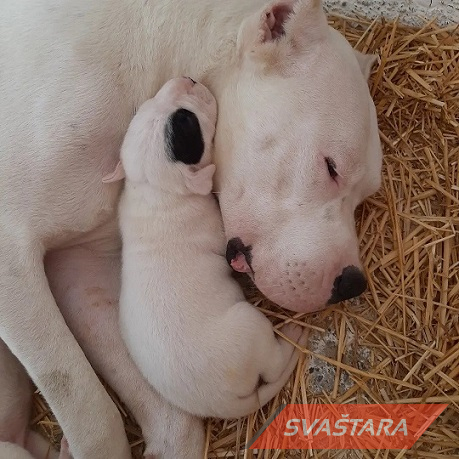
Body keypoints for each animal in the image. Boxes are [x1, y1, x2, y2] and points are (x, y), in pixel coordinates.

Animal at [105, 77, 310, 422]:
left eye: (147, 105)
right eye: (186, 121)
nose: (187, 78)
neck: (155, 190)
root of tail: (223, 402)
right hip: (250, 327)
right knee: (274, 363)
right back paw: (293, 335)